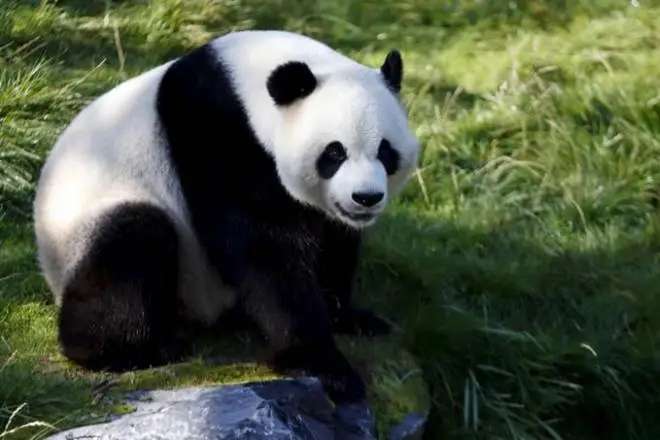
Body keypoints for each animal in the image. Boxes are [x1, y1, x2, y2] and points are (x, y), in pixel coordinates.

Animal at [33, 29, 420, 406]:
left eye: (386, 151)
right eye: (335, 152)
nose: (366, 198)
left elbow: (333, 242)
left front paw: (349, 317)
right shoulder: (220, 137)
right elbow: (264, 253)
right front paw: (324, 366)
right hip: (98, 223)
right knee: (133, 242)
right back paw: (134, 349)